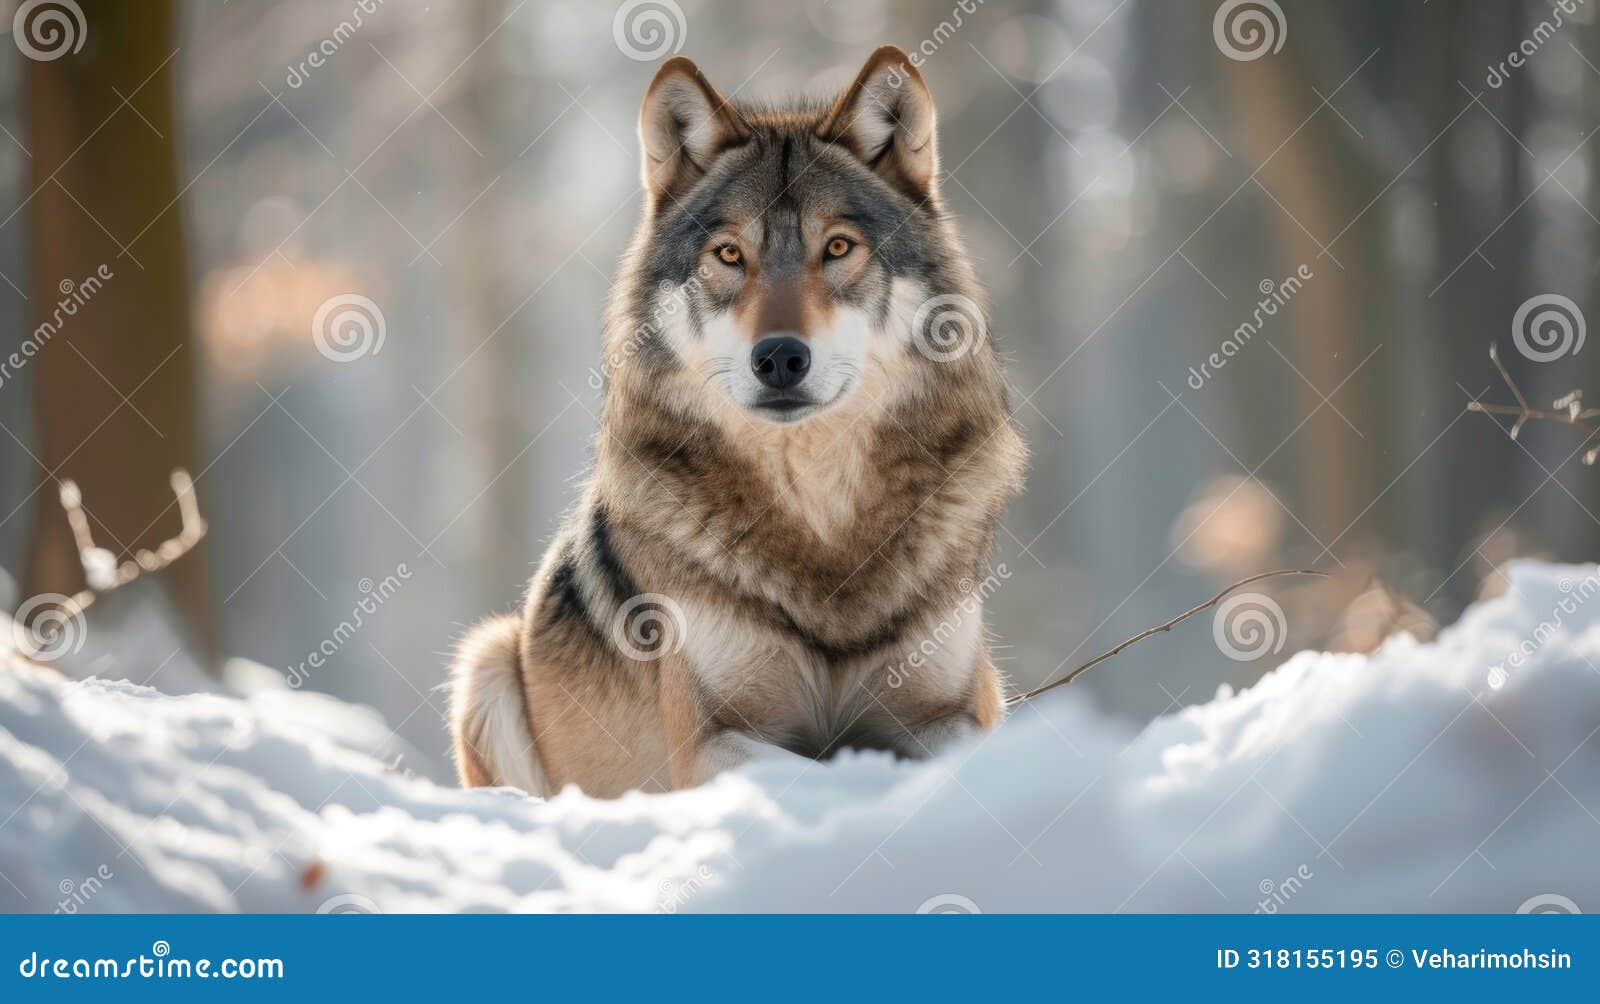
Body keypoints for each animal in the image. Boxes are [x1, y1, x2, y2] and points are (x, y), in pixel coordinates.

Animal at [448, 46, 1026, 797]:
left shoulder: (957, 712)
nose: (779, 357)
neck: (819, 518)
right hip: (484, 658)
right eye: (728, 255)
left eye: (837, 248)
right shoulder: (711, 739)